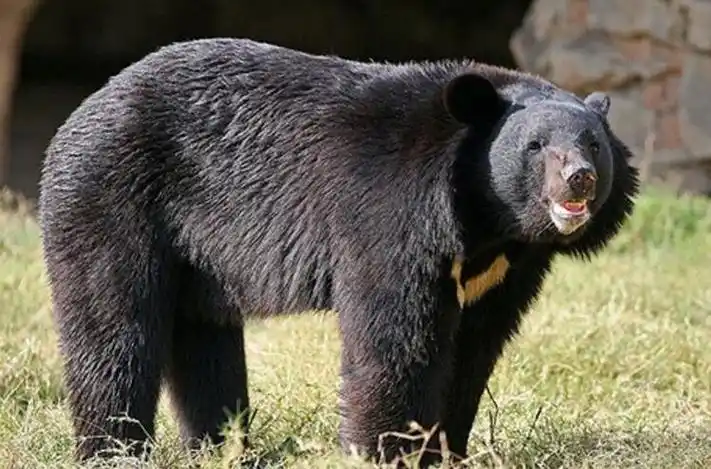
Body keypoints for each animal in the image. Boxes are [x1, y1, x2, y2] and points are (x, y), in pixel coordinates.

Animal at [37, 37, 639, 466]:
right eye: (536, 147)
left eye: (593, 145)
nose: (580, 180)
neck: (488, 223)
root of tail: (79, 114)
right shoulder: (391, 212)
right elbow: (395, 338)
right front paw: (386, 451)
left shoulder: (506, 269)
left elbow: (474, 347)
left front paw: (447, 450)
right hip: (110, 198)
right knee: (113, 328)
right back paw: (112, 450)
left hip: (194, 253)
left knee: (204, 341)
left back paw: (223, 449)